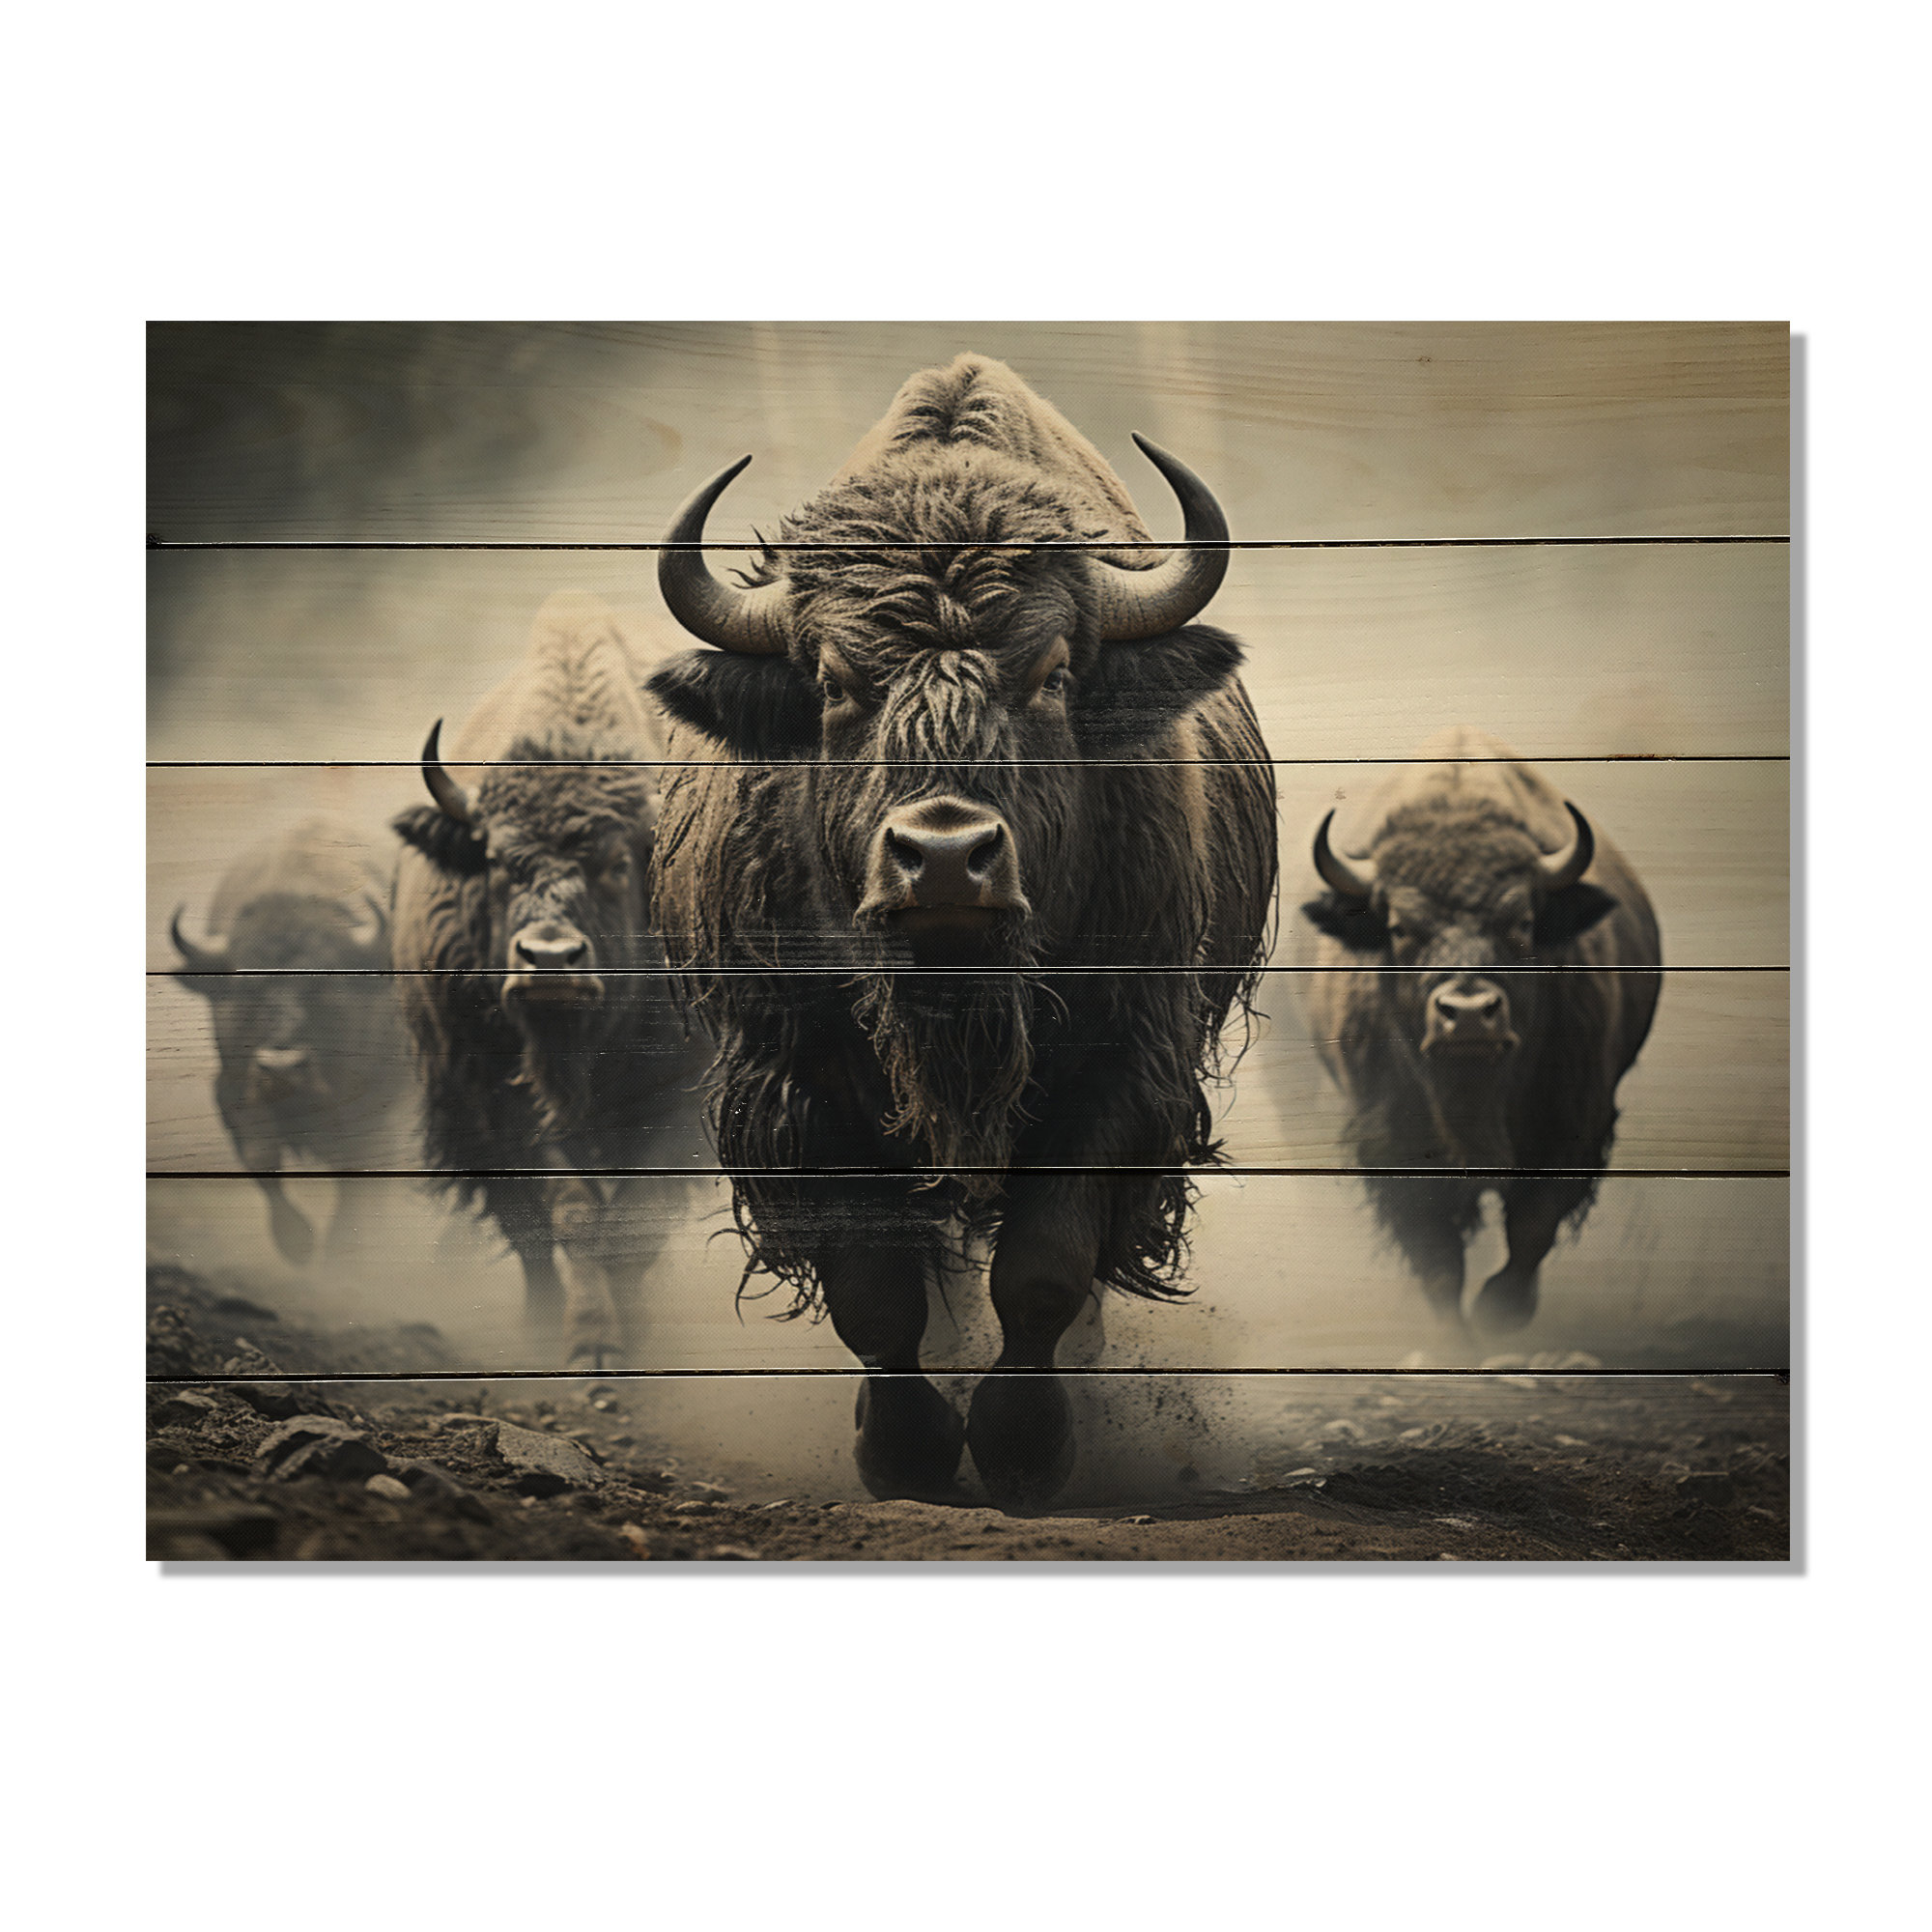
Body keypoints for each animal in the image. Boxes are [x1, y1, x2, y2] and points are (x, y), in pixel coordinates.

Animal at [170, 818, 404, 1266]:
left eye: (323, 982)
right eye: (247, 986)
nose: (281, 1069)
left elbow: (358, 1186)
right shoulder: (233, 1089)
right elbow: (261, 1157)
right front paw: (295, 1243)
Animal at [391, 592, 705, 1370]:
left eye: (618, 864)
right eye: (500, 862)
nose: (550, 960)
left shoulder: (677, 1100)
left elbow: (636, 1222)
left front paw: (631, 1337)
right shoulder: (498, 1097)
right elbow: (568, 1215)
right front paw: (591, 1347)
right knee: (526, 1229)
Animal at [647, 354, 1277, 1505]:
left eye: (1052, 672)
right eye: (834, 682)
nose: (943, 855)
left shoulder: (1121, 1068)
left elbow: (1043, 1270)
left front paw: (1028, 1449)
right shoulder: (796, 1084)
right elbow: (875, 1292)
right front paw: (902, 1452)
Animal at [1298, 728, 1662, 1334]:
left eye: (1522, 923)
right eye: (1399, 928)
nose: (1467, 1014)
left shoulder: (1571, 1130)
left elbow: (1532, 1229)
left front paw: (1501, 1314)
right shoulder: (1397, 1150)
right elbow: (1439, 1259)